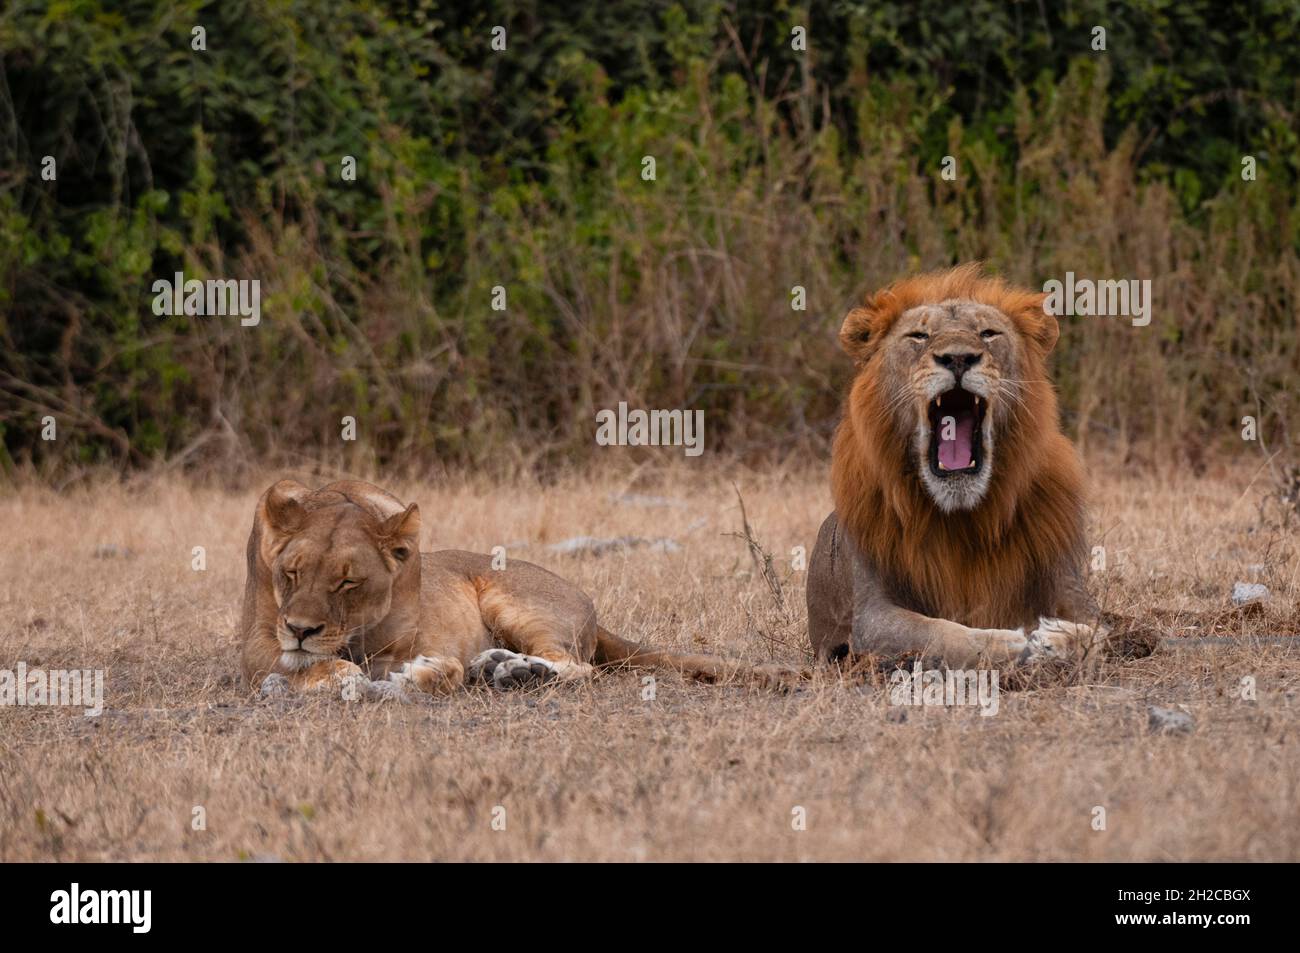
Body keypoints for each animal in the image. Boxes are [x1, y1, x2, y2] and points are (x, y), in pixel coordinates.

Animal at [239, 479, 789, 694]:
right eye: (291, 573)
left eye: (348, 581)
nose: (301, 630)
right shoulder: (257, 644)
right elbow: (307, 663)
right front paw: (334, 671)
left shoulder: (410, 642)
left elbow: (440, 669)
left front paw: (420, 676)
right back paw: (499, 667)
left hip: (512, 600)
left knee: (579, 666)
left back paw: (514, 671)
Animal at [806, 263, 1155, 670]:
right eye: (919, 336)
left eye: (988, 333)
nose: (958, 358)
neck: (961, 515)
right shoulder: (870, 617)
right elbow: (942, 634)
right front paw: (1011, 642)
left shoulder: (1071, 591)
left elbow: (1100, 633)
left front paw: (1056, 638)